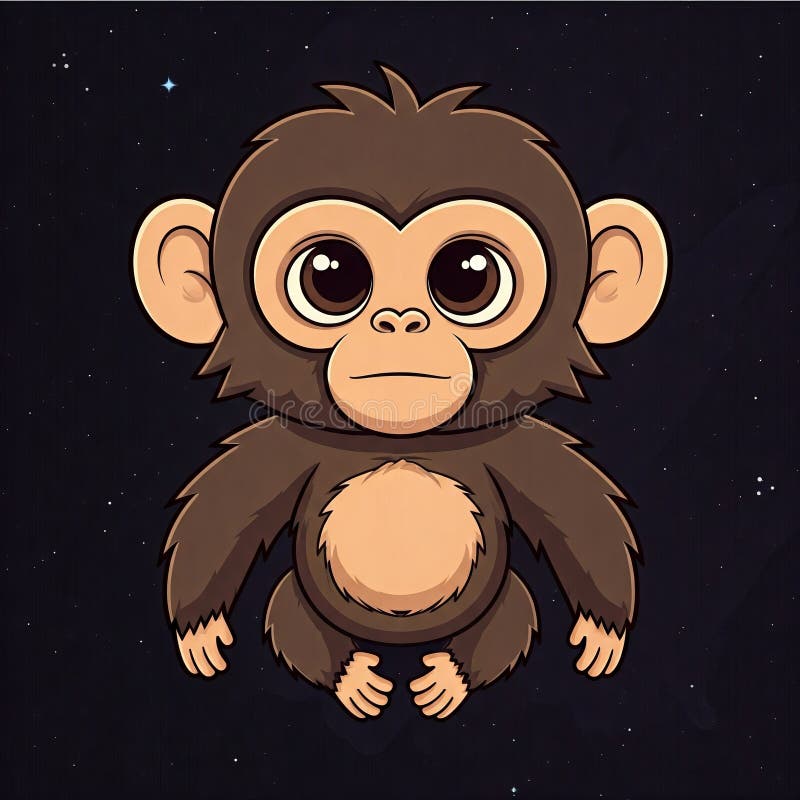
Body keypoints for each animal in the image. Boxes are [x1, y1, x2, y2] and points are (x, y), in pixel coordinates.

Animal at [132, 66, 668, 720]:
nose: (400, 321)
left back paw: (448, 678)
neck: (402, 442)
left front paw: (601, 631)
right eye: (330, 274)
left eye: (469, 274)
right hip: (302, 603)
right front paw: (201, 631)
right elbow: (226, 509)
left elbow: (575, 508)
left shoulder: (519, 447)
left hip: (500, 603)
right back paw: (354, 677)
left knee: (509, 623)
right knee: (294, 624)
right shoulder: (282, 449)